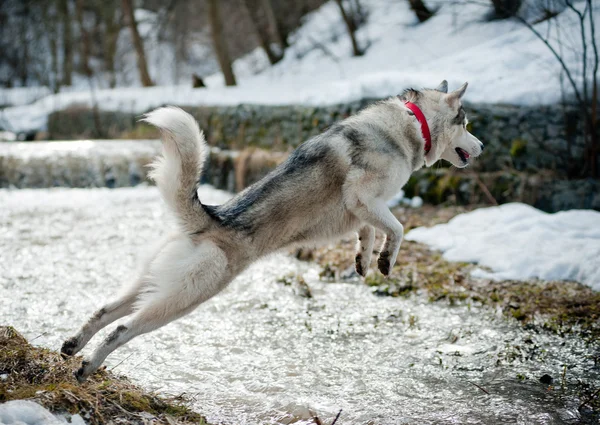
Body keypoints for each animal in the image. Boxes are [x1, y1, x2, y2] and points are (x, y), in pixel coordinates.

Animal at [62, 81, 482, 380]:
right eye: (466, 124)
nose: (480, 147)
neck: (412, 124)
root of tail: (210, 217)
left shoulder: (362, 209)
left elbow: (369, 232)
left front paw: (364, 260)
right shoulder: (363, 197)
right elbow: (398, 228)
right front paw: (385, 260)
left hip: (154, 282)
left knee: (105, 310)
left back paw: (72, 345)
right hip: (187, 296)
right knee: (122, 329)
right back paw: (89, 366)